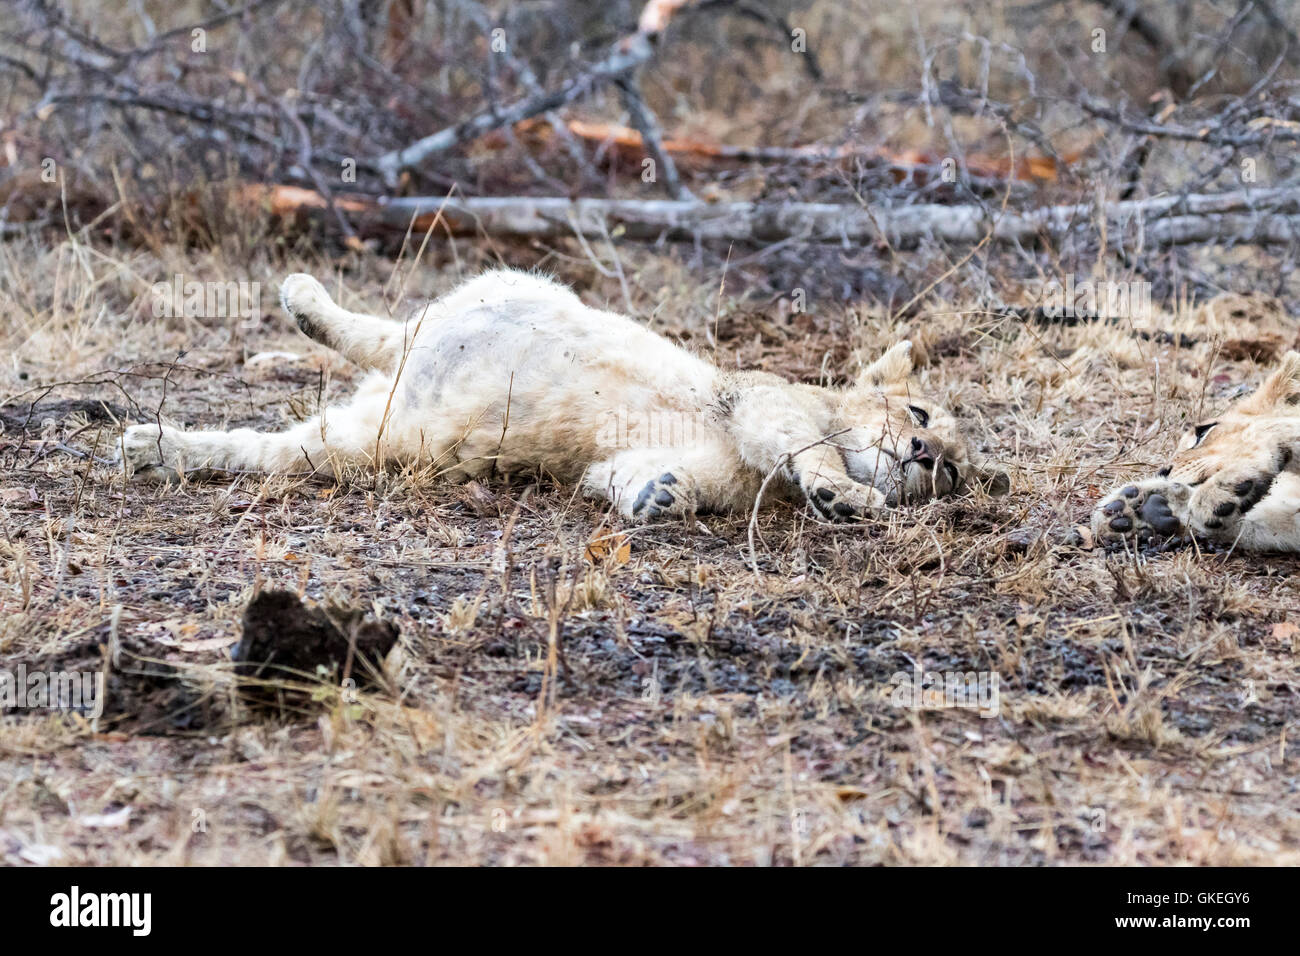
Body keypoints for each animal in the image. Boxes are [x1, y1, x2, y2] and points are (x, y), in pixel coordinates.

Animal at [117, 269, 1008, 520]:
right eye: (920, 414)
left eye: (955, 472)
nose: (923, 455)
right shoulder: (758, 400)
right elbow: (811, 447)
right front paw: (843, 495)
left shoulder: (691, 462)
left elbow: (632, 478)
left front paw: (658, 495)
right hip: (495, 291)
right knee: (378, 327)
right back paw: (301, 296)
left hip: (360, 442)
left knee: (261, 449)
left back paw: (152, 447)